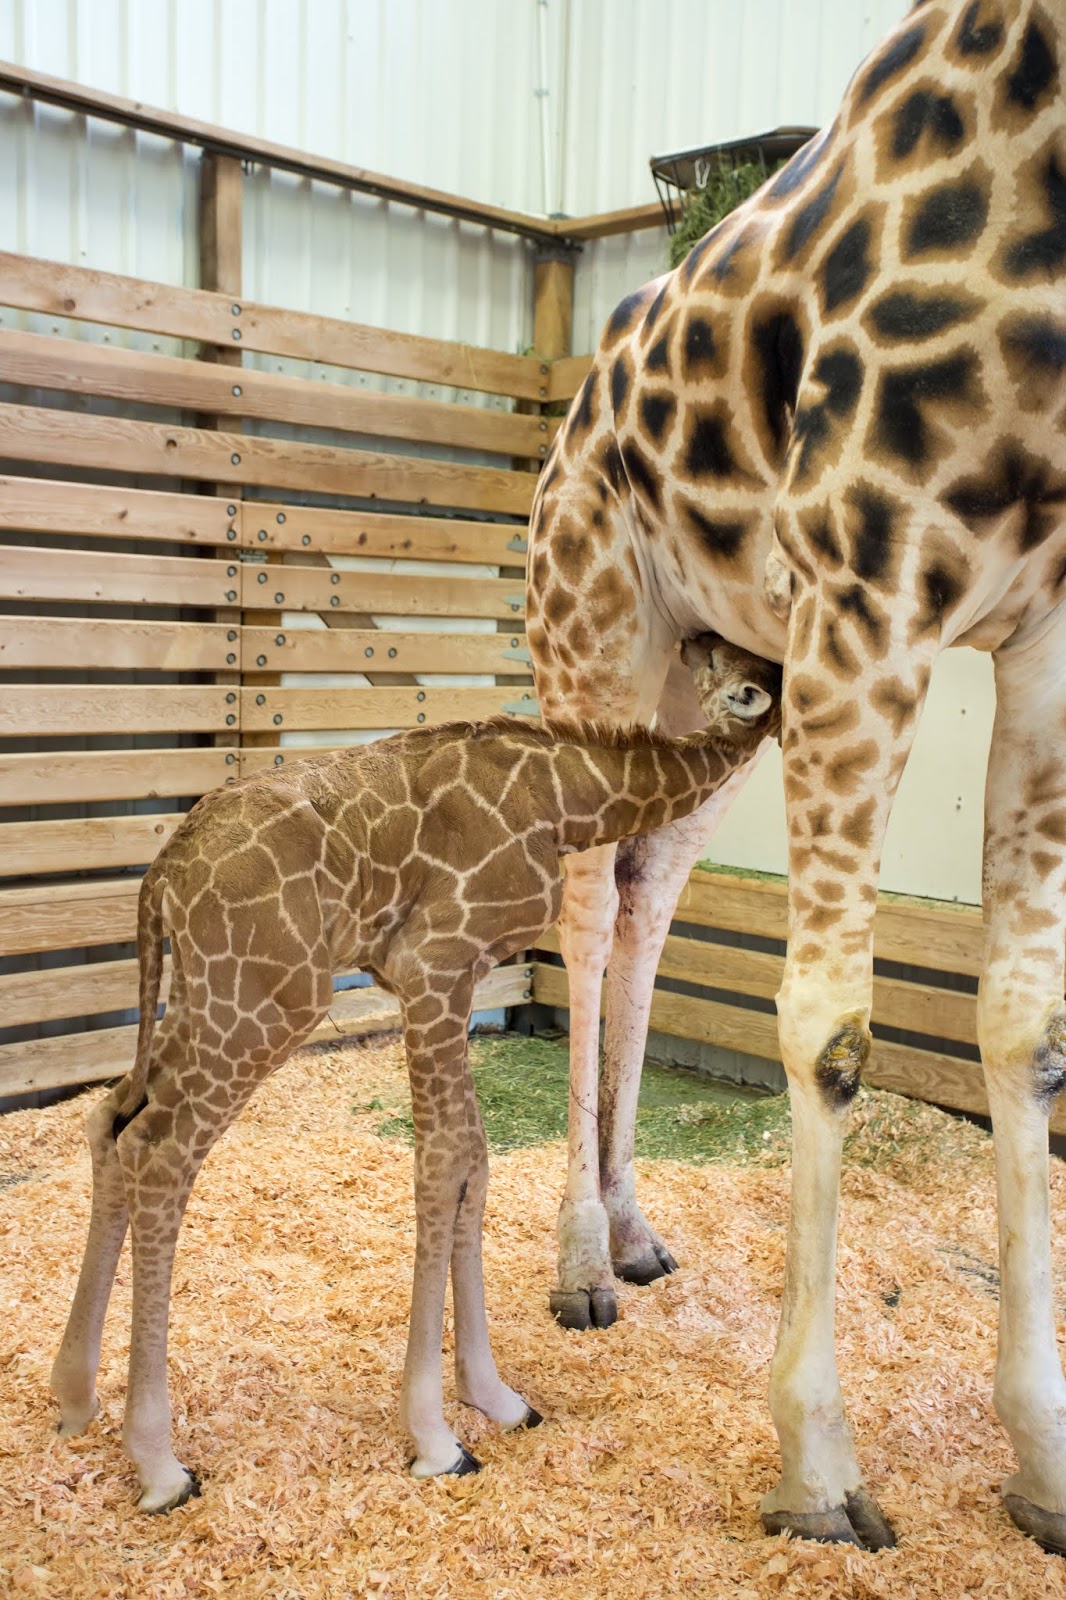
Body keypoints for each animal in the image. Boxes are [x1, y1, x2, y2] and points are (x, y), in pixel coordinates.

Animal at [49, 644, 780, 1514]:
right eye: (718, 660)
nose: (701, 648)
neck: (568, 797)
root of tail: (162, 874)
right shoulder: (432, 965)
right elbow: (443, 1165)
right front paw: (437, 1438)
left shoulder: (446, 980)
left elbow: (474, 1158)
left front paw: (497, 1399)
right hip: (271, 999)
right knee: (160, 1152)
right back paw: (161, 1465)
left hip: (206, 993)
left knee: (112, 1118)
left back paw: (75, 1399)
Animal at [527, 0, 1066, 1553]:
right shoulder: (868, 593)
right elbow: (828, 1028)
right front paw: (817, 1467)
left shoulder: (1046, 631)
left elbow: (1025, 1030)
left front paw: (1044, 1462)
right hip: (593, 635)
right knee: (584, 907)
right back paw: (577, 1266)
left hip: (720, 687)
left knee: (647, 893)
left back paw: (633, 1229)